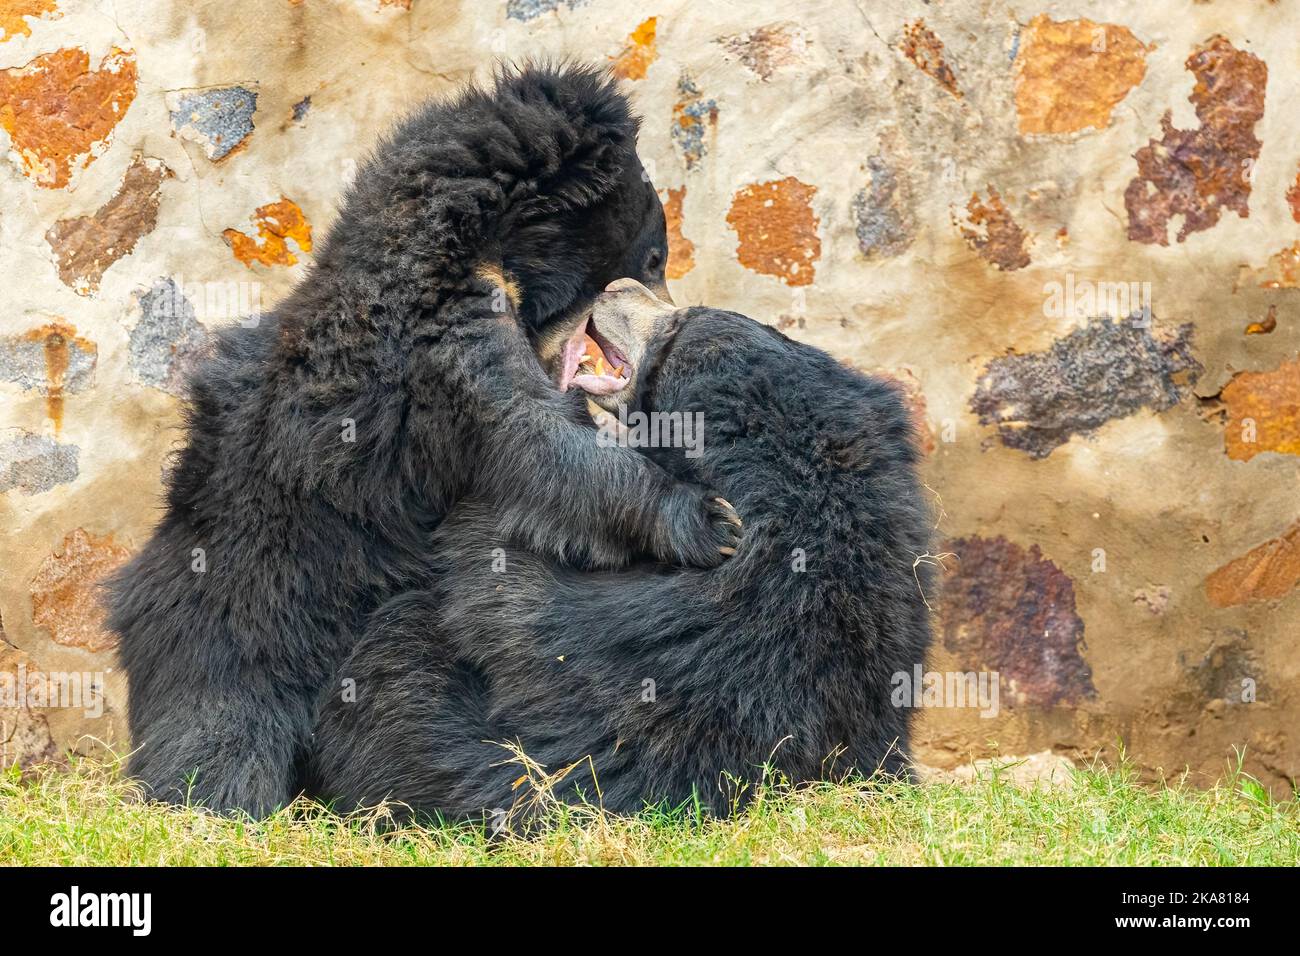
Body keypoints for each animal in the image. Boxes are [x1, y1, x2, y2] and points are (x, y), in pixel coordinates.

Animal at [107, 66, 741, 818]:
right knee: (220, 741)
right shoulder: (445, 349)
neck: (469, 247)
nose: (665, 309)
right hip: (248, 627)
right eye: (656, 255)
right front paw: (712, 521)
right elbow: (542, 449)